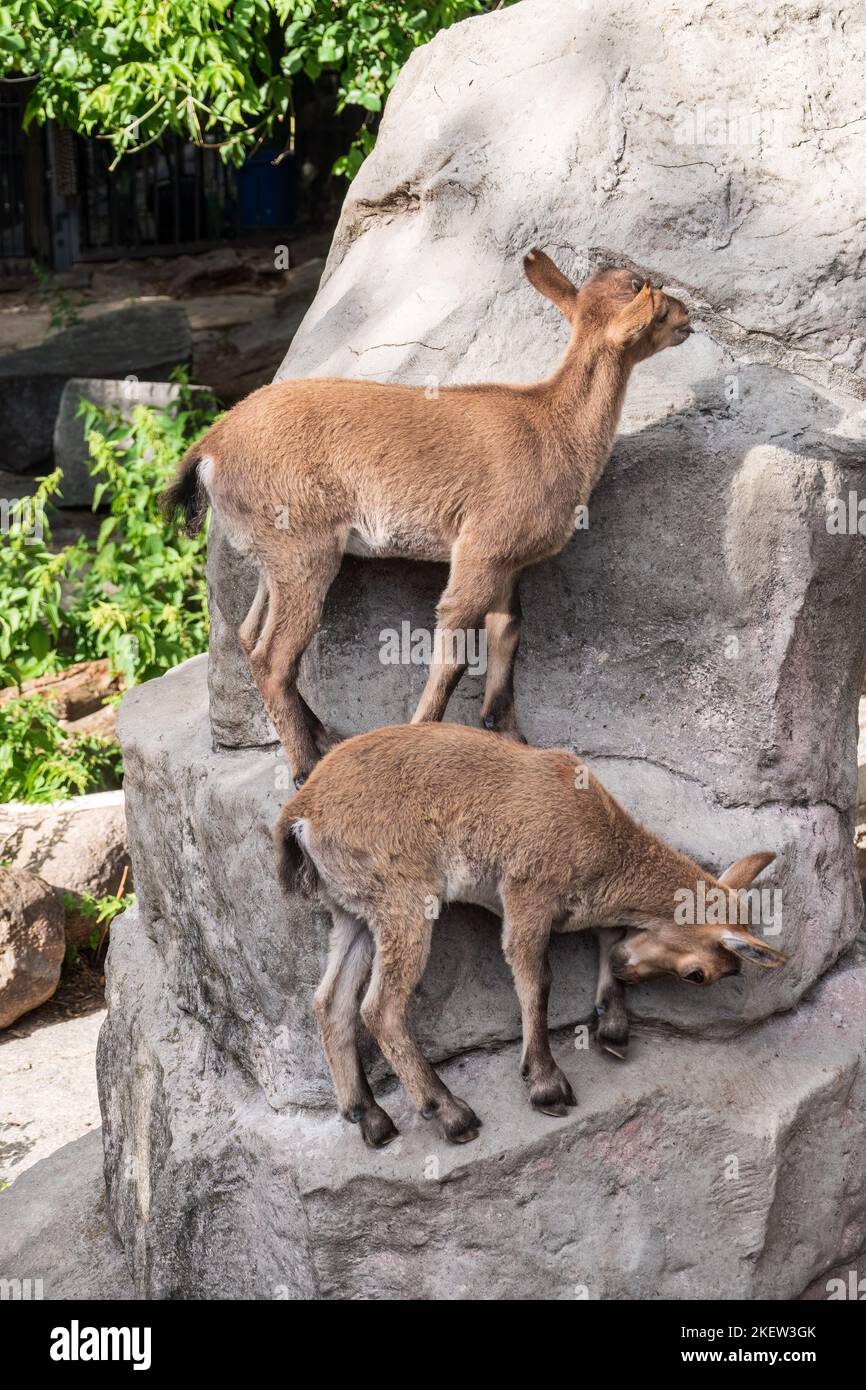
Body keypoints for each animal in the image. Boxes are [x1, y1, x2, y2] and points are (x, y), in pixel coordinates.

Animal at [163, 252, 693, 785]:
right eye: (649, 296)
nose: (687, 315)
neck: (552, 427)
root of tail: (210, 449)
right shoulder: (480, 548)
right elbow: (453, 653)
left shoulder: (507, 562)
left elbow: (508, 634)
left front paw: (509, 734)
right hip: (302, 550)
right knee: (274, 657)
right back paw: (305, 766)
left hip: (274, 559)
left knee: (249, 637)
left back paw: (322, 738)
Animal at [274, 723, 785, 1148]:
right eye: (699, 975)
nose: (627, 970)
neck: (599, 833)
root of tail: (301, 816)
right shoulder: (527, 893)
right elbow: (536, 980)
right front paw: (546, 1085)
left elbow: (606, 932)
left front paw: (613, 1025)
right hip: (403, 900)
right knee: (380, 1007)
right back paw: (451, 1114)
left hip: (352, 912)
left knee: (330, 1001)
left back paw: (370, 1118)